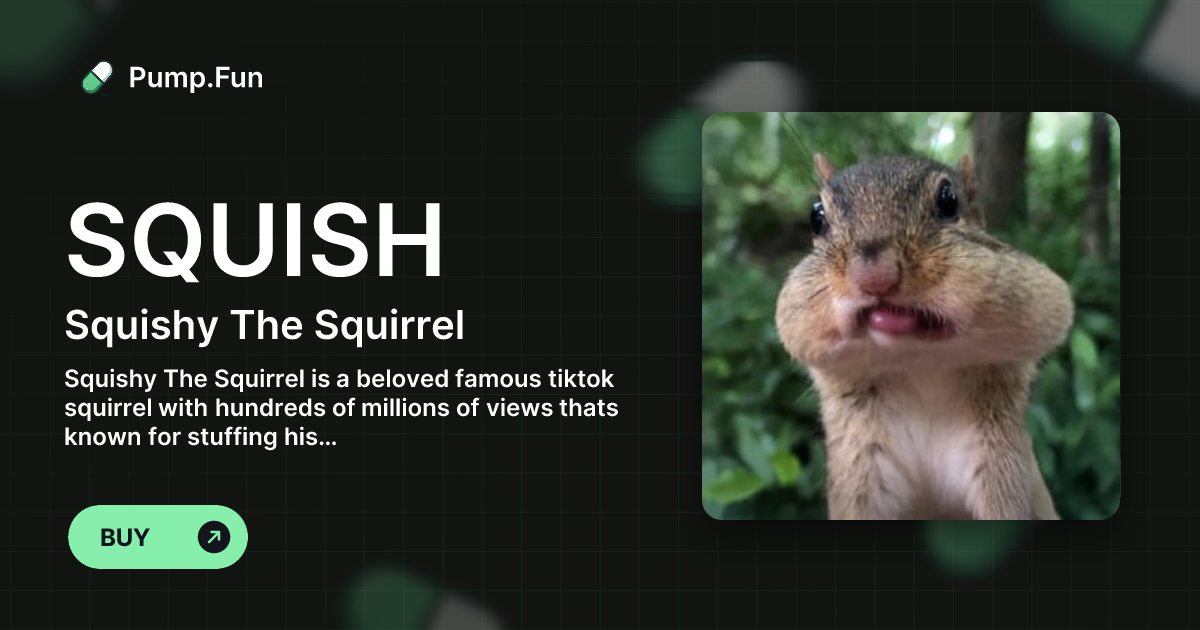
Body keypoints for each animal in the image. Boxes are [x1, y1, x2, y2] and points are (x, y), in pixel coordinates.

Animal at [774, 153, 1073, 520]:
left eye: (949, 200)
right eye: (816, 217)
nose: (875, 277)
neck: (918, 362)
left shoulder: (998, 465)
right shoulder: (859, 473)